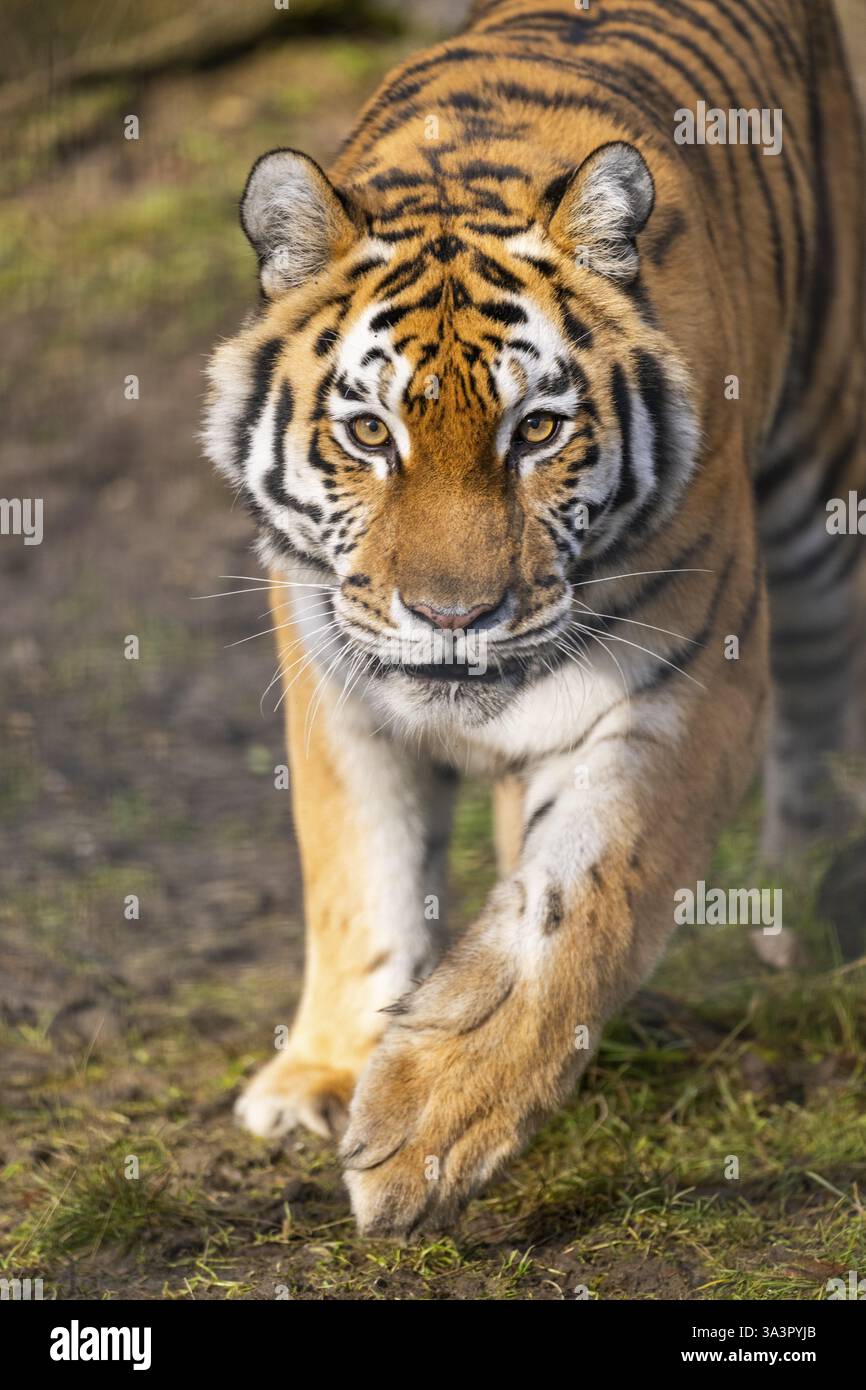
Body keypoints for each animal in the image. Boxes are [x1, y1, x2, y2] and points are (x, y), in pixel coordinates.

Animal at [204, 0, 865, 1237]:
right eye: (369, 434)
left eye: (538, 431)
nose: (452, 613)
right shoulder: (335, 679)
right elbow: (358, 874)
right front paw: (324, 1070)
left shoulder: (685, 683)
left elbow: (582, 898)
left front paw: (429, 1125)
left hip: (817, 481)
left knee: (814, 708)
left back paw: (794, 916)